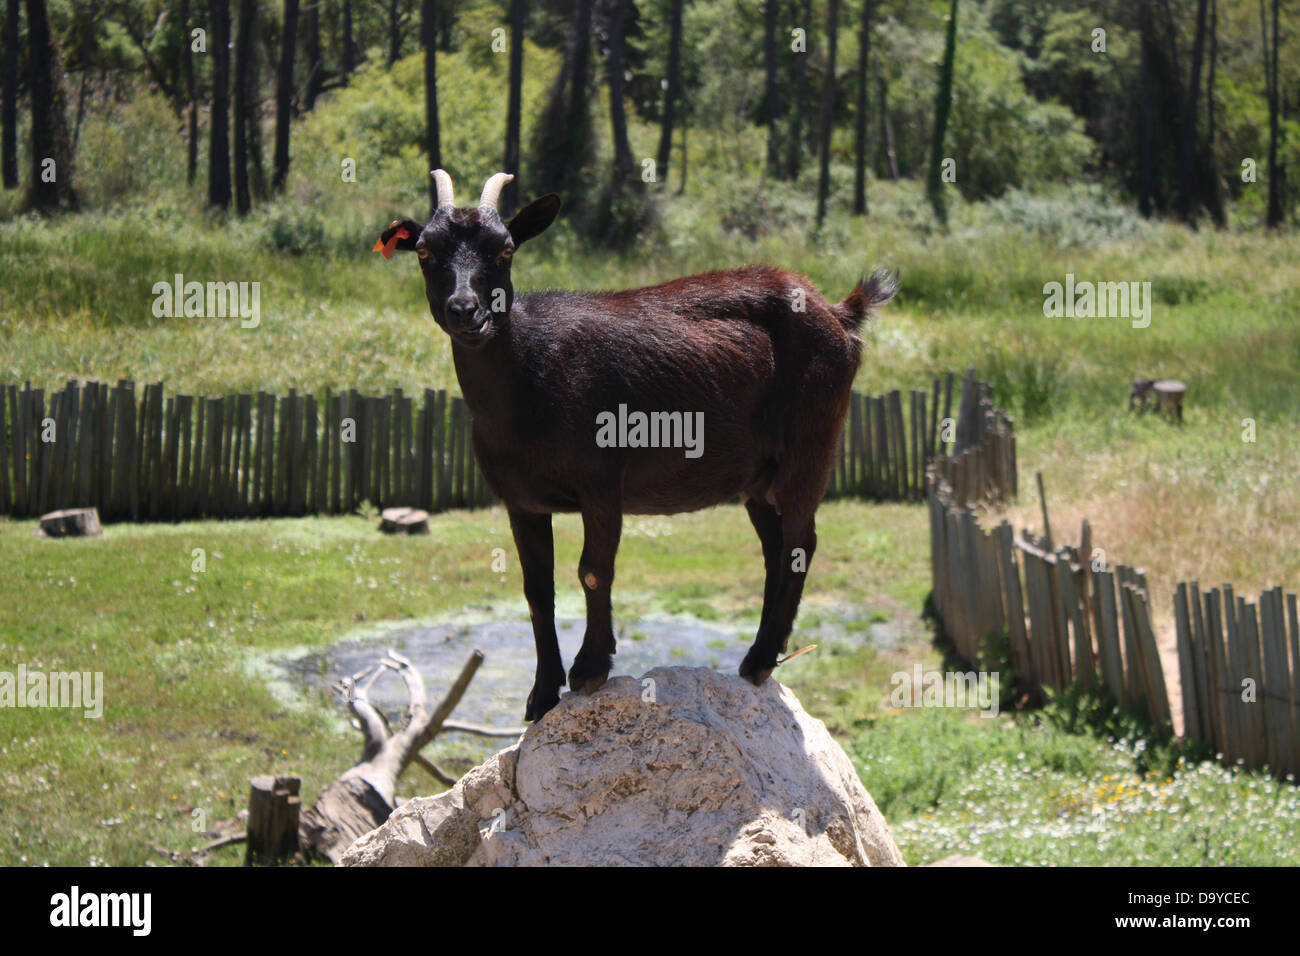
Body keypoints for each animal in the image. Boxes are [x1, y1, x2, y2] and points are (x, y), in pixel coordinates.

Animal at [377, 170, 897, 720]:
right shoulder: (521, 500)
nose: (465, 310)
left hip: (811, 446)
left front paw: (589, 670)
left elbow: (593, 570)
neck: (528, 376)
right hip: (758, 478)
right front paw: (541, 696)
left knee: (801, 543)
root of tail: (839, 313)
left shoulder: (602, 482)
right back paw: (763, 655)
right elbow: (537, 589)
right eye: (425, 251)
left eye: (505, 249)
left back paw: (758, 662)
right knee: (776, 551)